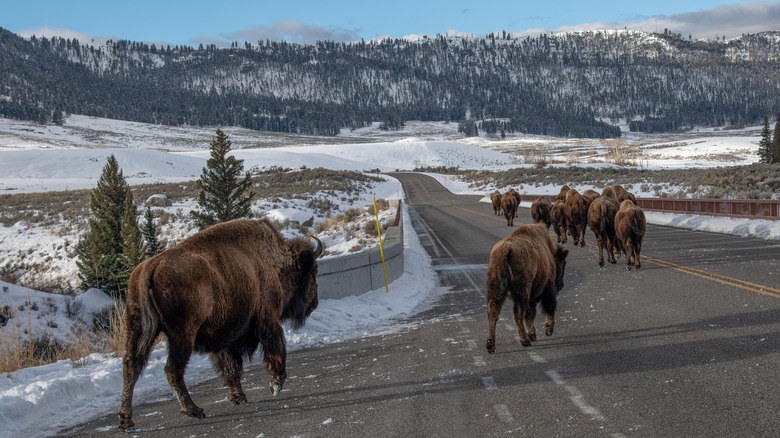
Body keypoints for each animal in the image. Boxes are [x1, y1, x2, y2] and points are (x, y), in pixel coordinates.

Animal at [118, 219, 322, 430]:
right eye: (313, 271)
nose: (314, 303)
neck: (274, 260)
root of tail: (150, 268)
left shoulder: (226, 336)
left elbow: (230, 366)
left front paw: (238, 397)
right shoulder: (267, 320)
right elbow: (276, 350)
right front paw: (276, 385)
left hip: (138, 329)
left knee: (131, 366)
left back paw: (126, 420)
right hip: (182, 334)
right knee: (173, 369)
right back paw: (194, 410)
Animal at [486, 224, 569, 353]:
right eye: (563, 264)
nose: (560, 285)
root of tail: (506, 250)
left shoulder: (531, 297)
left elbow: (530, 314)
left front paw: (533, 335)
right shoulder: (546, 289)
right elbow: (548, 307)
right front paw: (547, 330)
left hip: (495, 292)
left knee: (493, 314)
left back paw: (491, 346)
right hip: (522, 294)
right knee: (518, 316)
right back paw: (525, 341)